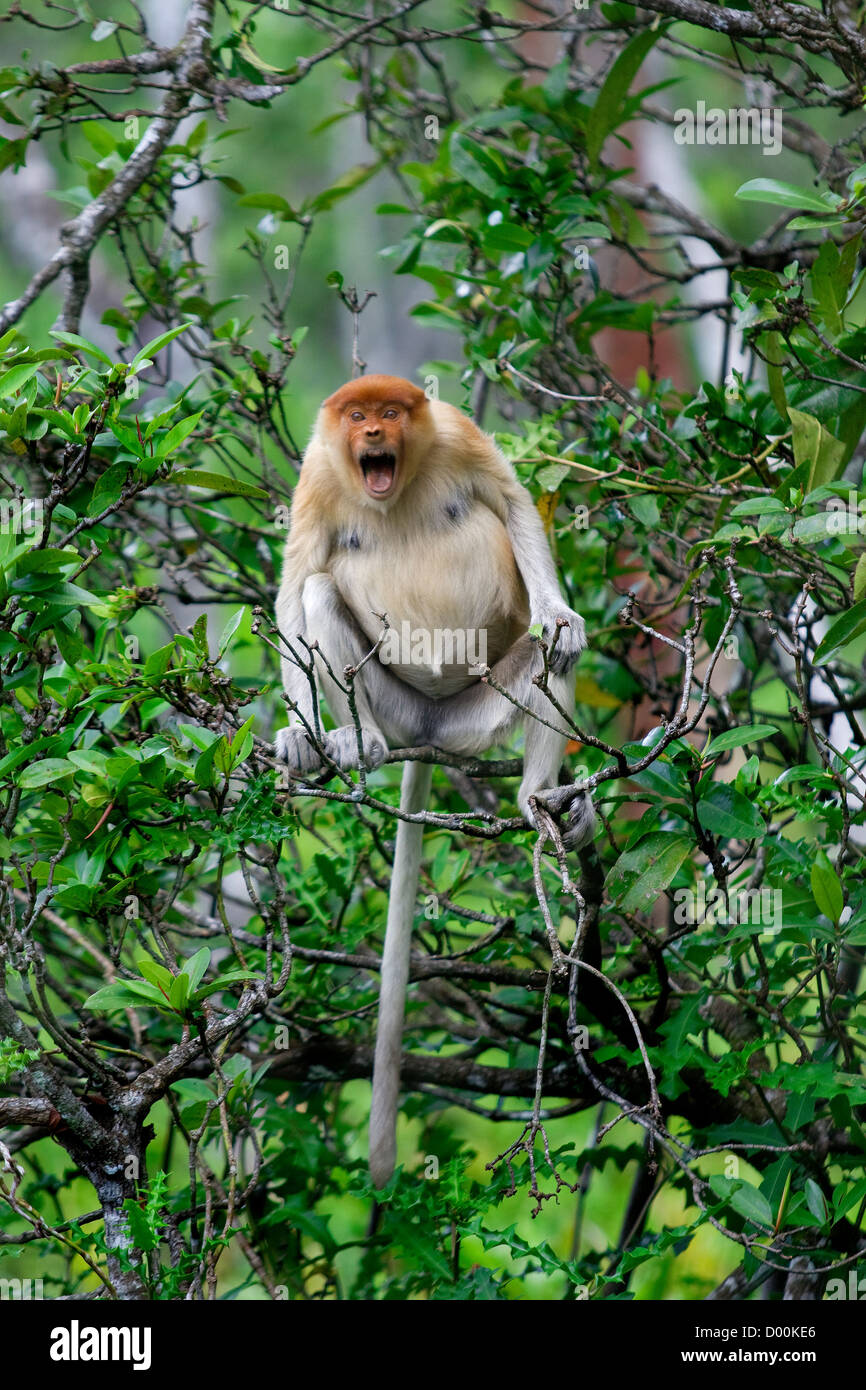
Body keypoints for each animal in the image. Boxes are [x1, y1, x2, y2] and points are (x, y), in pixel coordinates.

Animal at [275, 375, 594, 1188]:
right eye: (358, 415)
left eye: (392, 413)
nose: (373, 433)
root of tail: (428, 727)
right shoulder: (318, 479)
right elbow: (293, 594)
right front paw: (295, 735)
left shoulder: (454, 434)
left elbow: (511, 502)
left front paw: (563, 614)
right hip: (393, 701)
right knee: (320, 592)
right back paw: (357, 741)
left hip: (480, 707)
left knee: (548, 657)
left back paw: (540, 804)